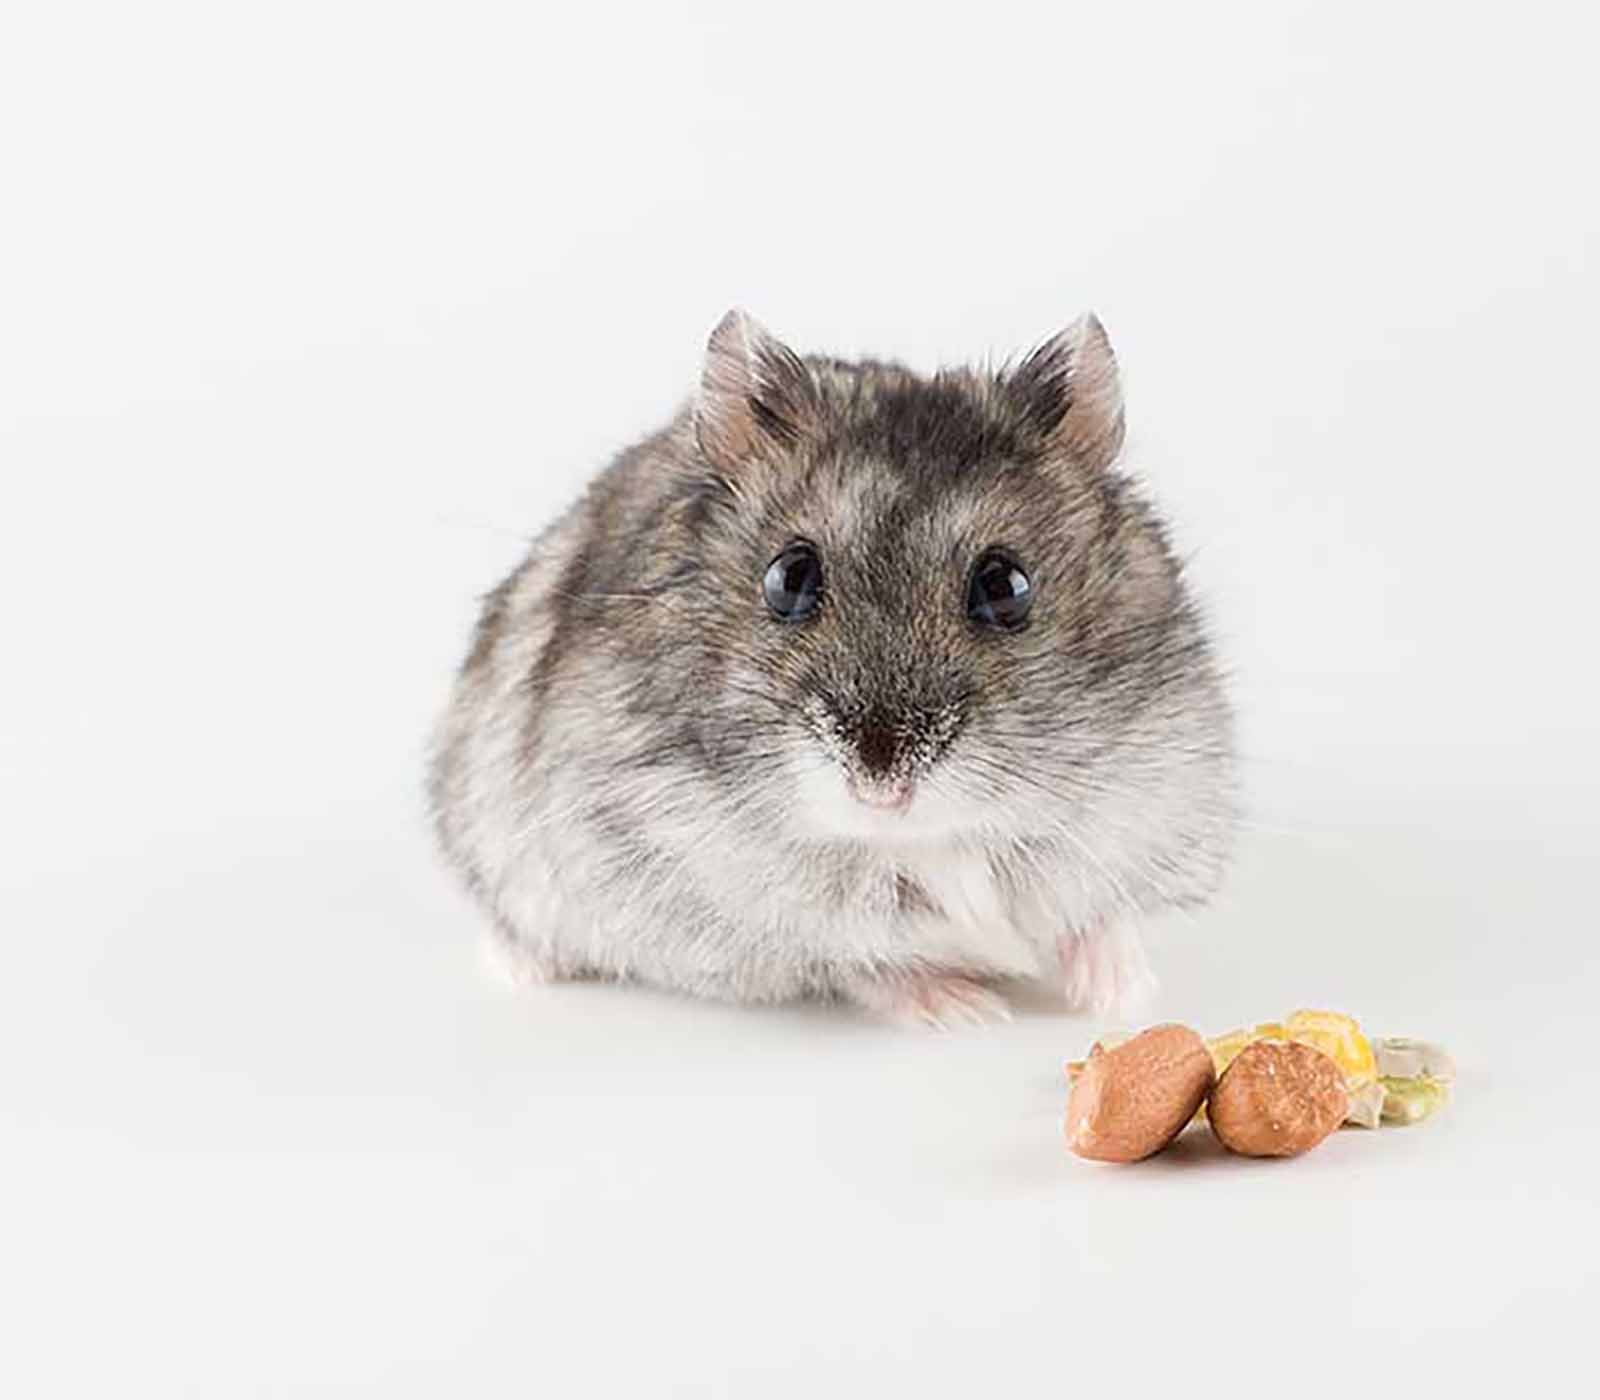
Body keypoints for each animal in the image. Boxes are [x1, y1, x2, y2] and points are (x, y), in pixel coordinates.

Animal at [428, 310, 1235, 1026]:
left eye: (1007, 587)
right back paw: (522, 968)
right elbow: (866, 958)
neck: (921, 838)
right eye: (789, 578)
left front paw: (1122, 992)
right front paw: (967, 1012)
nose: (881, 785)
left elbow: (1098, 915)